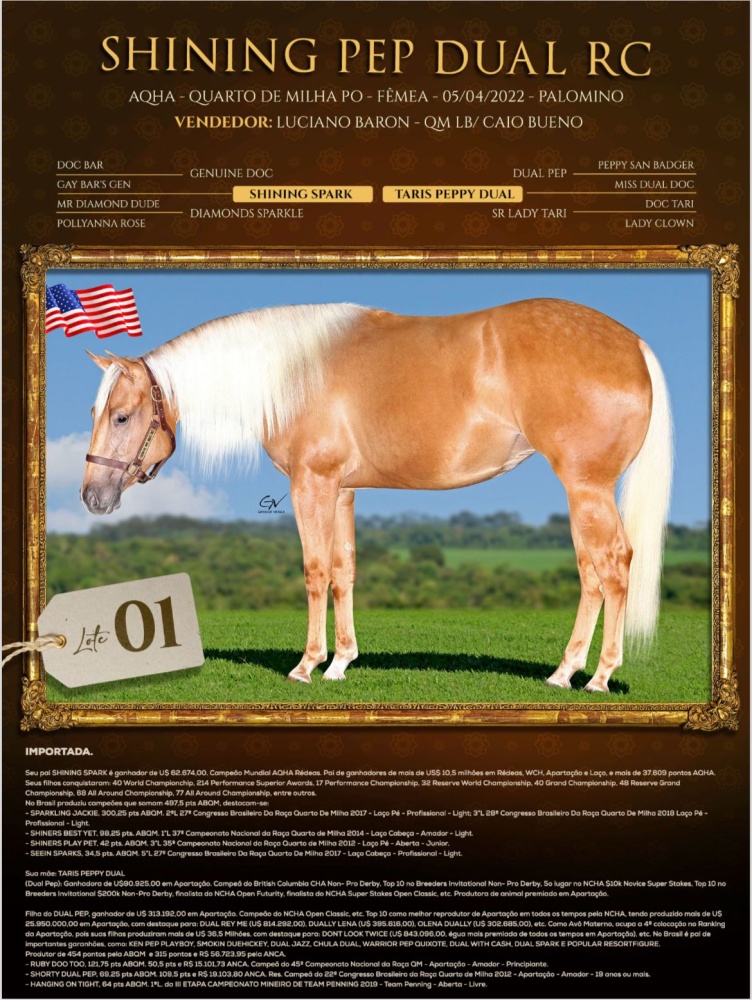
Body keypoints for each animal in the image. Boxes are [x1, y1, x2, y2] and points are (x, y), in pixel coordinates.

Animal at [80, 298, 672, 694]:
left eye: (122, 416)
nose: (92, 497)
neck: (293, 373)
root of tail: (634, 345)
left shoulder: (312, 484)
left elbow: (315, 570)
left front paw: (306, 665)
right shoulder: (342, 491)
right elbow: (344, 571)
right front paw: (341, 663)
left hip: (587, 488)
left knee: (614, 566)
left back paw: (598, 677)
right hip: (582, 495)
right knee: (592, 574)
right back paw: (564, 673)